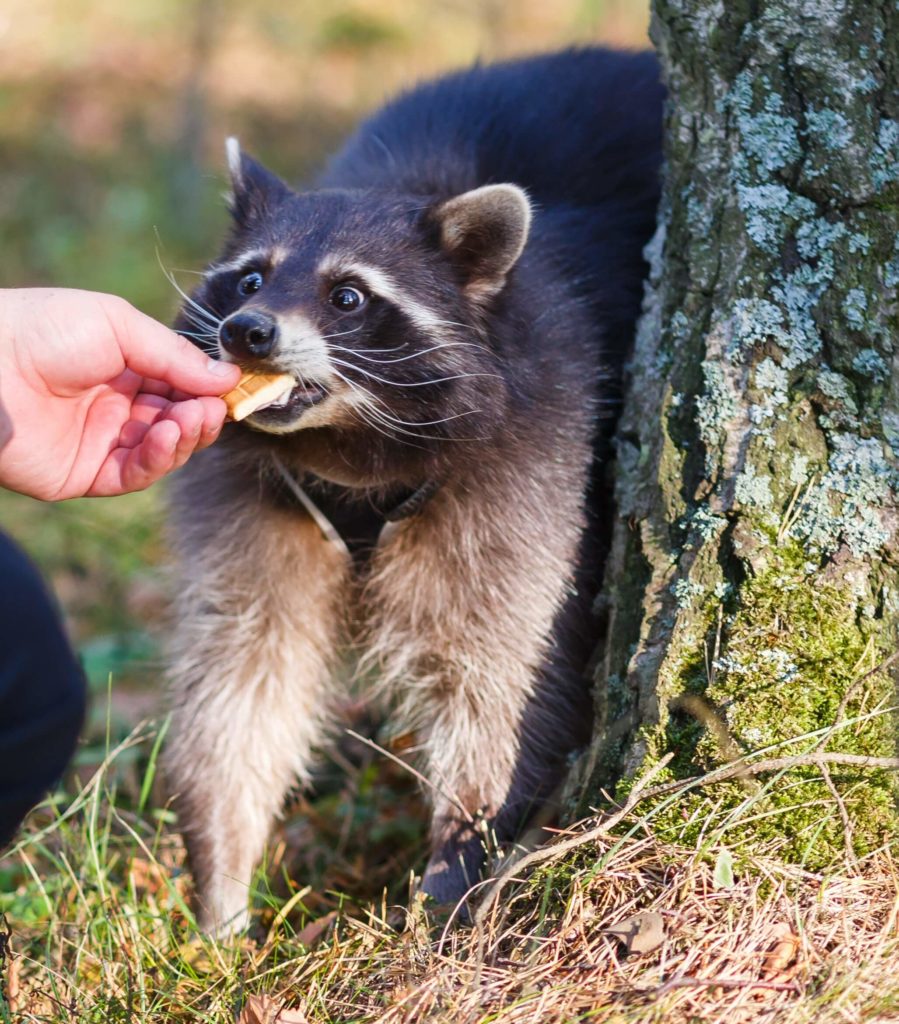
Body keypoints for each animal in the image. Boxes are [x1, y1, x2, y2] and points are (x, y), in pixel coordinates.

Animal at [166, 47, 663, 934]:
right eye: (250, 279)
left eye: (347, 296)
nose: (246, 332)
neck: (344, 446)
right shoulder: (251, 493)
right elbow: (241, 671)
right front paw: (219, 878)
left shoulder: (536, 461)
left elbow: (503, 681)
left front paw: (453, 872)